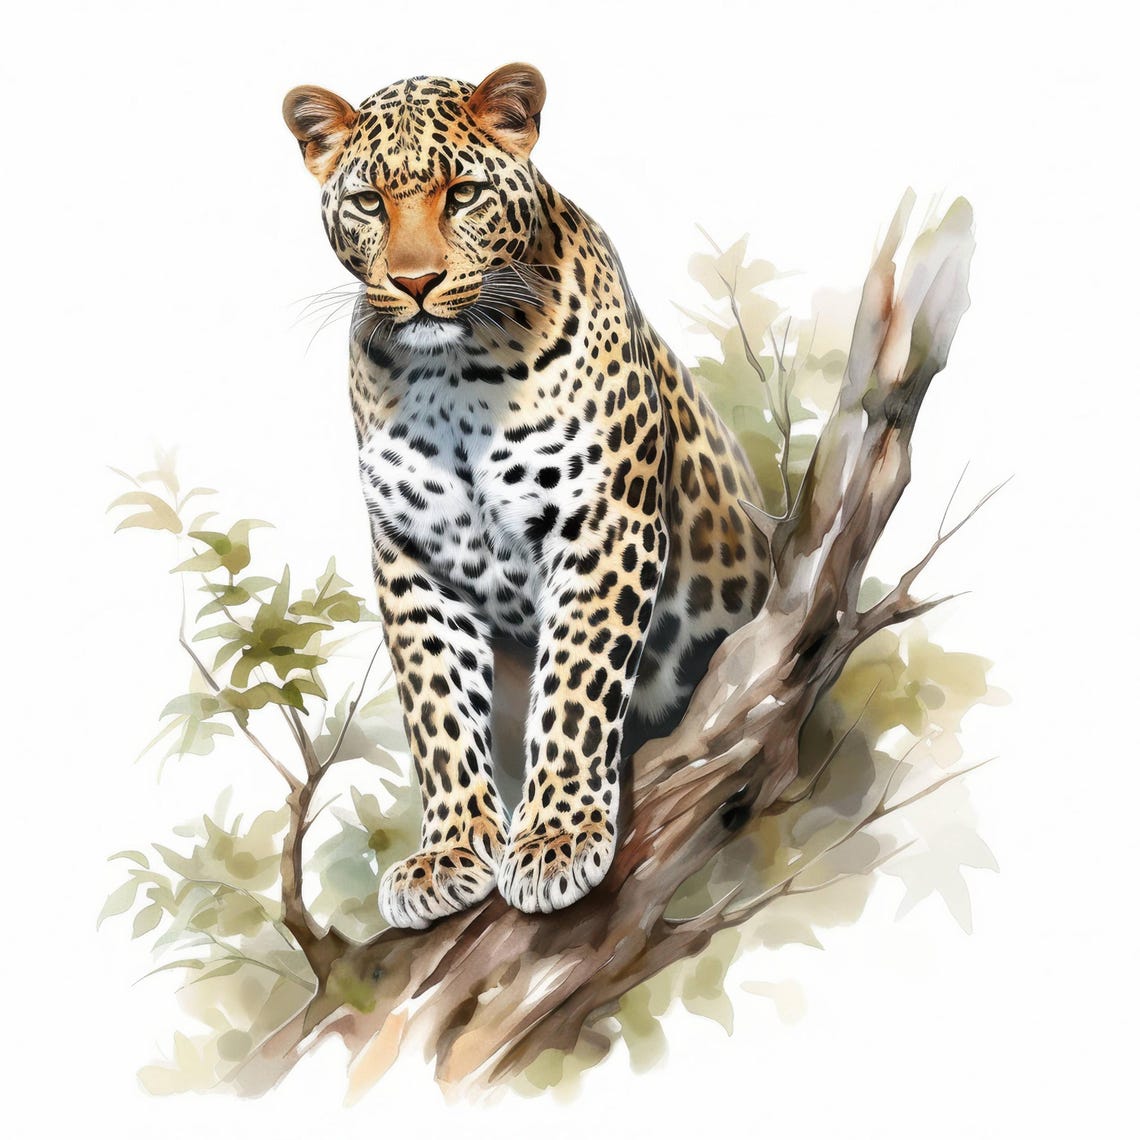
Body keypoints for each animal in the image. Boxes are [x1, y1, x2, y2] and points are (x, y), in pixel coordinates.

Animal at [283, 63, 770, 928]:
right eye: (369, 201)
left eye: (464, 193)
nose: (415, 283)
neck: (451, 372)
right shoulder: (412, 556)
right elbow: (437, 708)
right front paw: (448, 853)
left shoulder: (604, 523)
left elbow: (575, 683)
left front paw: (557, 839)